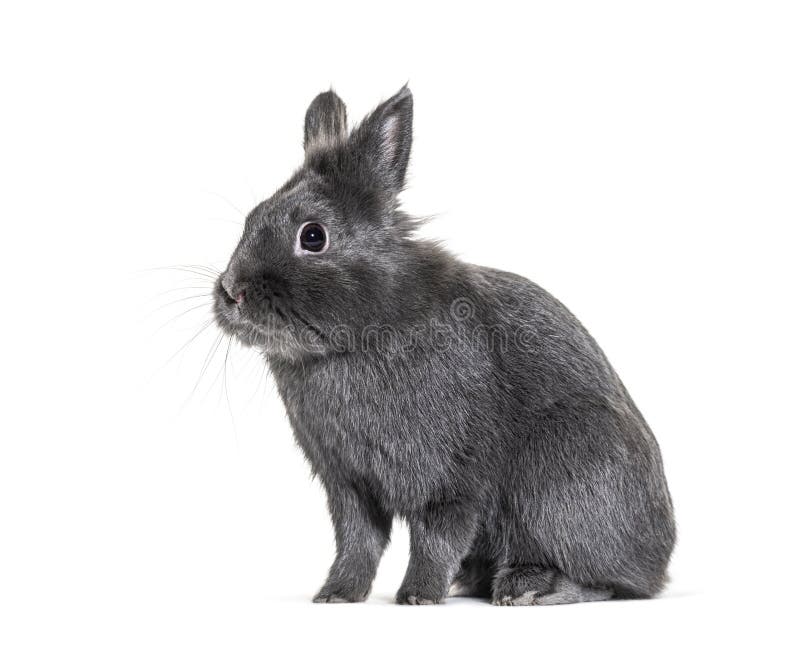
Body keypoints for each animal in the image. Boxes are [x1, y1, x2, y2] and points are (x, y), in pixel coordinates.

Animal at [212, 86, 676, 605]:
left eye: (313, 236)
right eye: (252, 217)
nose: (232, 290)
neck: (363, 332)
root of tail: (660, 559)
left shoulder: (450, 481)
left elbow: (435, 539)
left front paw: (417, 596)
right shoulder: (350, 486)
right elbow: (357, 544)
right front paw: (336, 595)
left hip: (562, 476)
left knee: (609, 582)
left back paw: (527, 587)